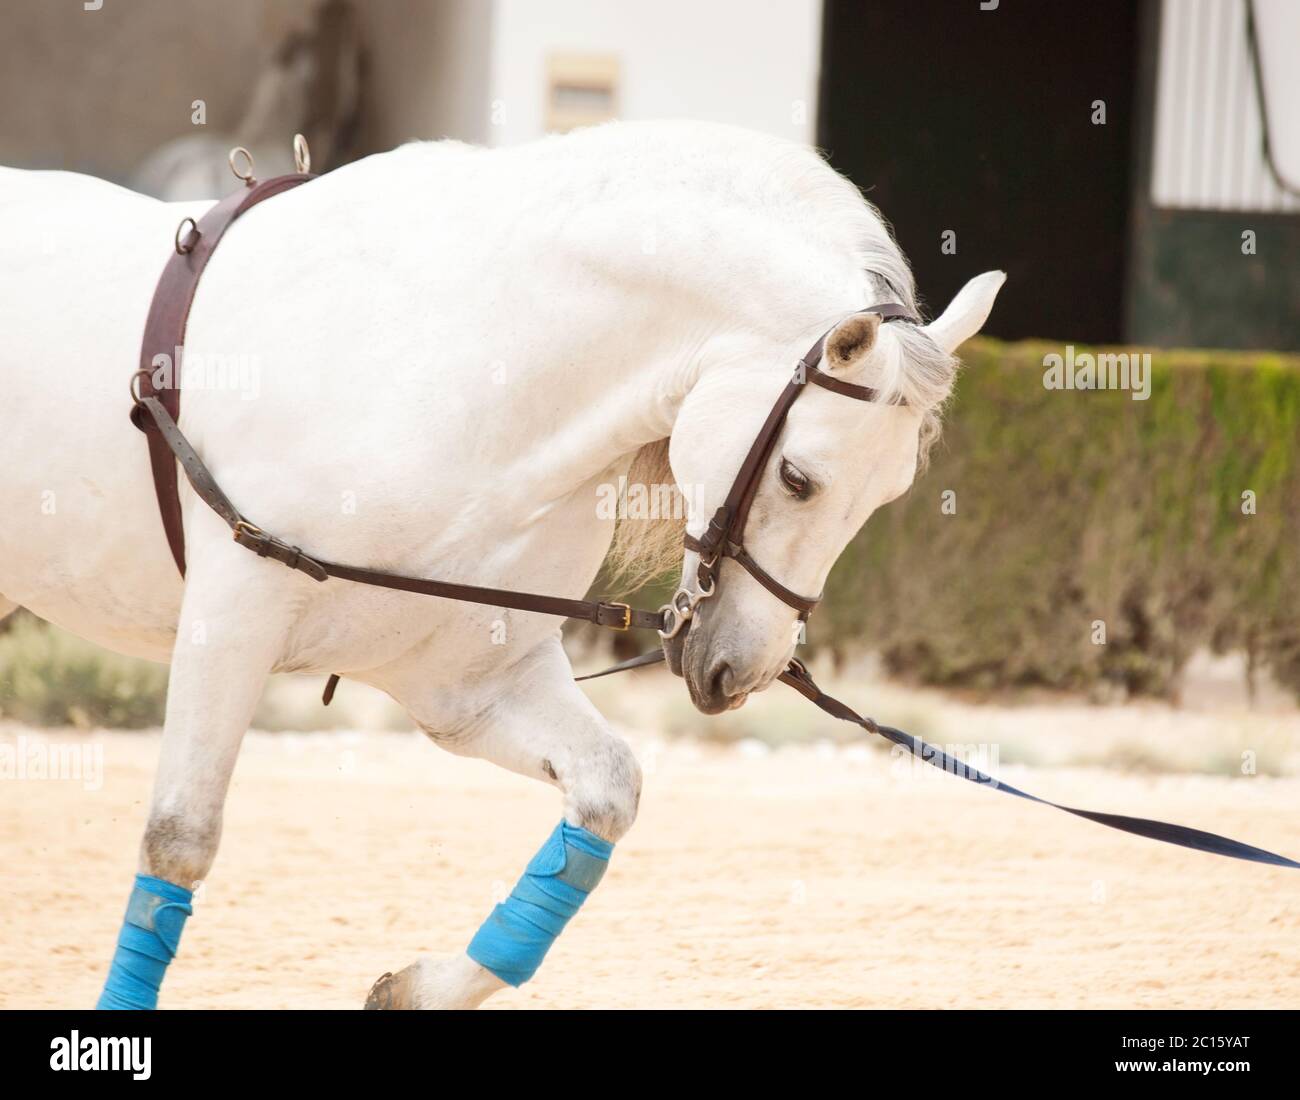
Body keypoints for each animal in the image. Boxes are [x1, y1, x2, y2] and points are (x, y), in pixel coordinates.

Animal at [0, 119, 1004, 1008]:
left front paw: (413, 988)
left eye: (890, 493)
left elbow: (607, 795)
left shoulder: (467, 684)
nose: (743, 670)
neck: (466, 365)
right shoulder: (229, 627)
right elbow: (180, 840)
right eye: (798, 477)